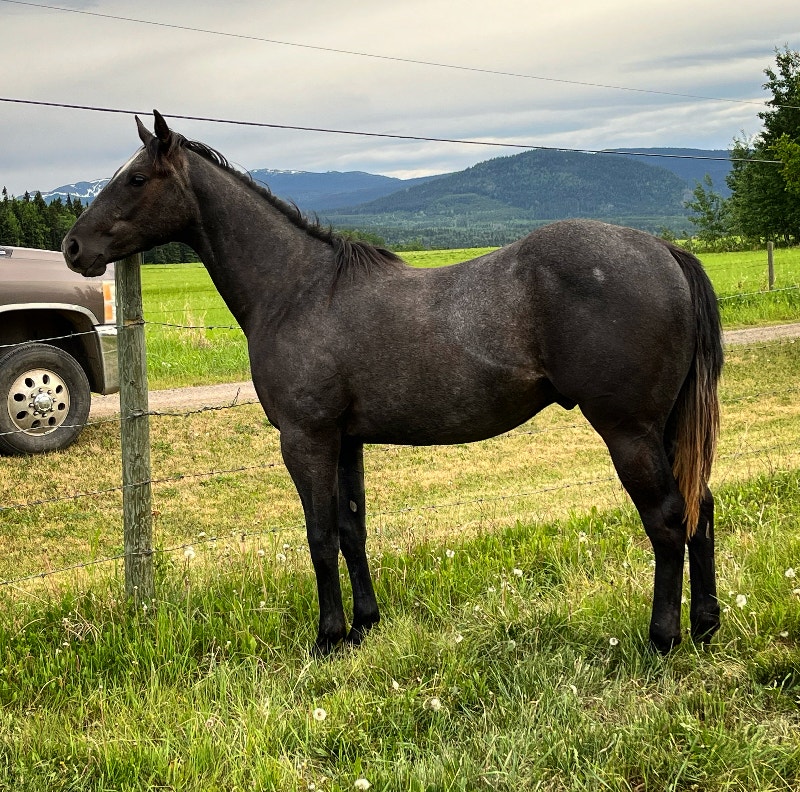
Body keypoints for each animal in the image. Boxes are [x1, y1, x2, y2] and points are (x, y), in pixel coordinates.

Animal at [63, 110, 723, 655]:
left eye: (137, 179)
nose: (73, 247)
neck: (299, 290)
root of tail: (665, 251)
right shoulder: (346, 441)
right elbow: (352, 531)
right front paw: (364, 625)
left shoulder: (306, 440)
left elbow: (320, 535)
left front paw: (329, 637)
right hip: (663, 429)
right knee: (700, 508)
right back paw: (705, 626)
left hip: (628, 431)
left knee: (668, 517)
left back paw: (663, 639)